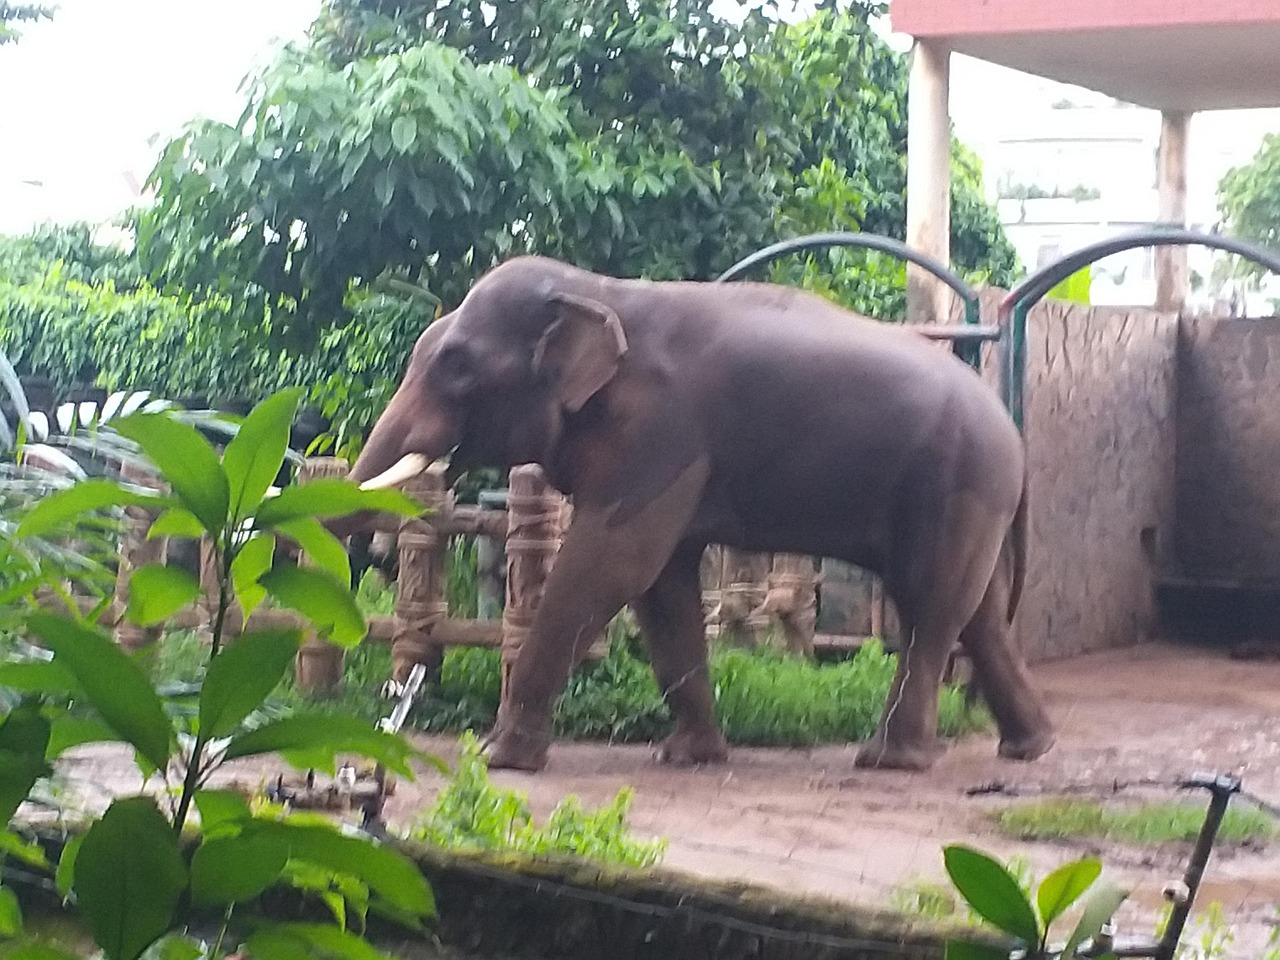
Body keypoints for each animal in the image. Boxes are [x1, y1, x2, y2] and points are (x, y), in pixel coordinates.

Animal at [344, 254, 1056, 773]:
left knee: (930, 603)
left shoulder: (662, 433)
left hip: (956, 481)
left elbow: (611, 565)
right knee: (977, 612)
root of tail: (1015, 435)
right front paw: (686, 757)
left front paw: (498, 759)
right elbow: (660, 588)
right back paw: (1028, 748)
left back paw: (888, 761)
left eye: (456, 366)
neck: (600, 291)